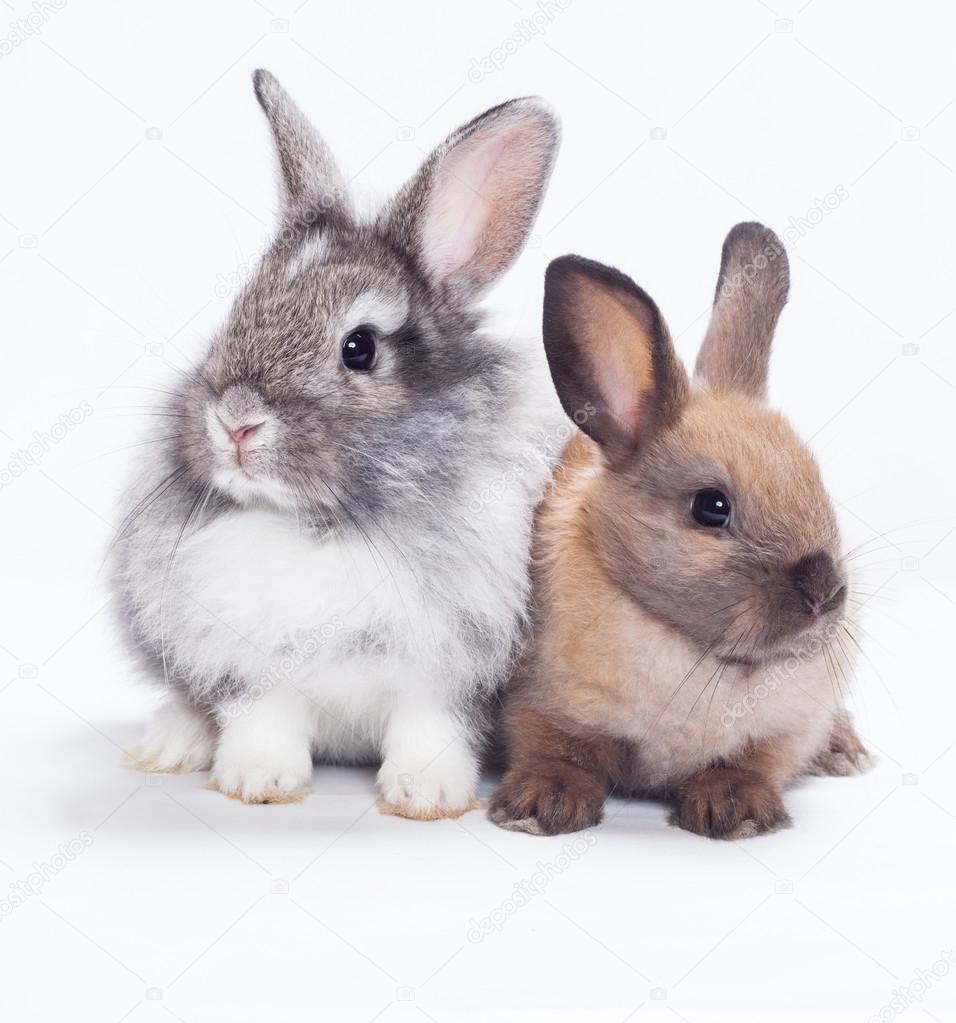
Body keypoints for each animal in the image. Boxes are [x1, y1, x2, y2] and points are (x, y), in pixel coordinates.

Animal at [111, 69, 564, 819]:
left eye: (360, 348)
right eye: (234, 317)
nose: (235, 421)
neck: (320, 524)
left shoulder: (443, 676)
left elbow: (429, 730)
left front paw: (426, 797)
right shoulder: (249, 670)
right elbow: (259, 720)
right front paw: (257, 781)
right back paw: (170, 744)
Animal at [488, 222, 871, 840]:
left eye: (816, 482)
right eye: (711, 507)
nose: (825, 593)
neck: (703, 657)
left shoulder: (785, 731)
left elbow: (752, 763)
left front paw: (737, 813)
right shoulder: (541, 707)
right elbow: (558, 751)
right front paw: (540, 808)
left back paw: (846, 751)